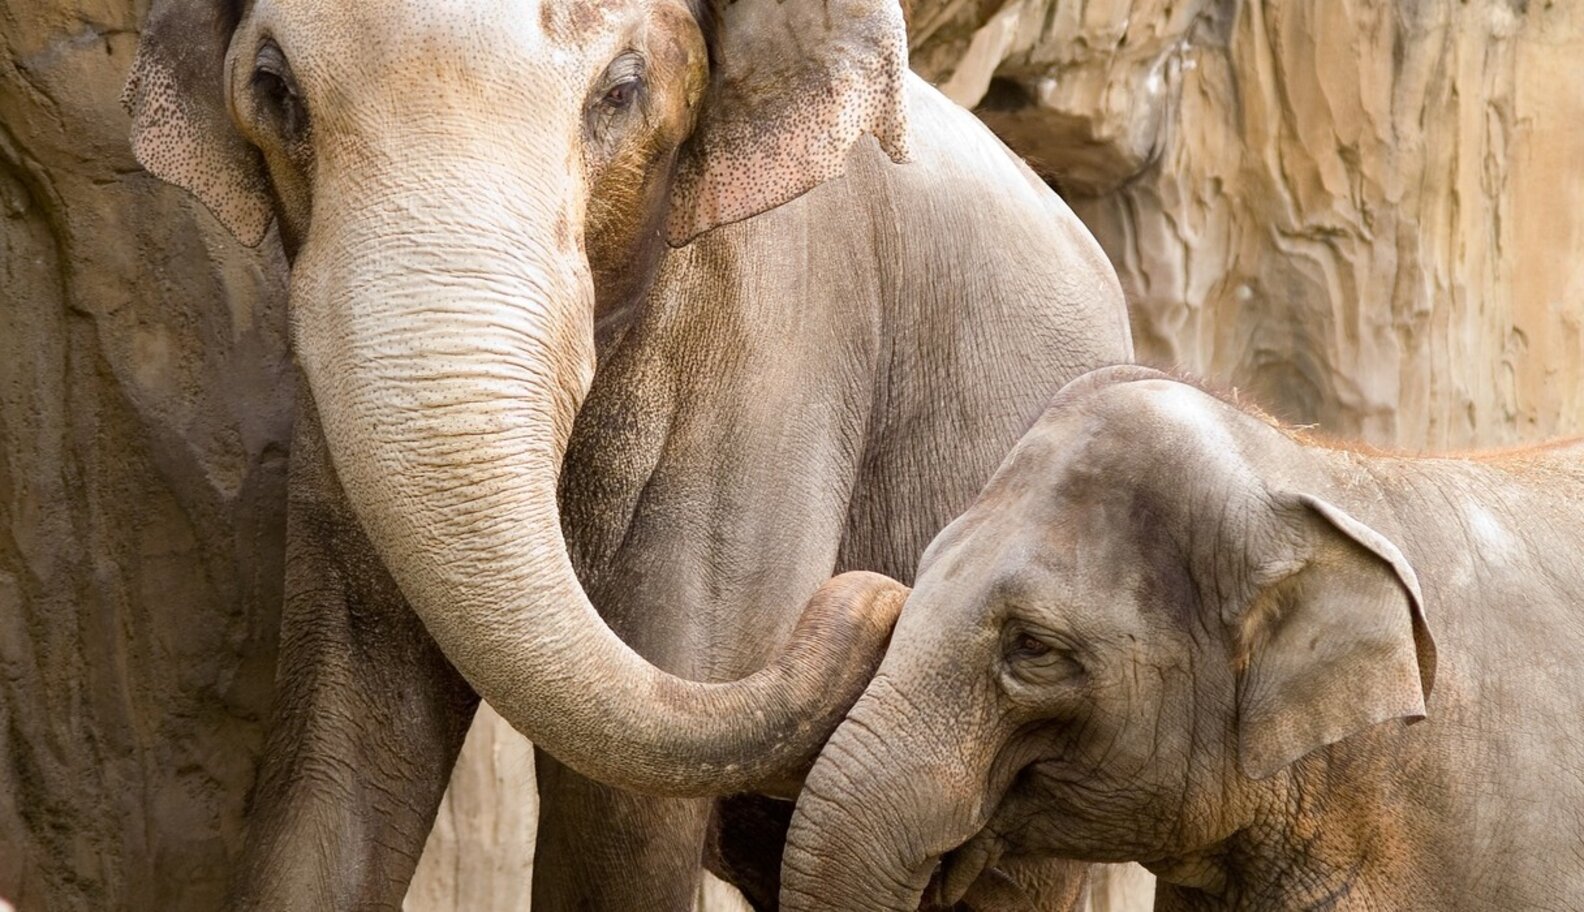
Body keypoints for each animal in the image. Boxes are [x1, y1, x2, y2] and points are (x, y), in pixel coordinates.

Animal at [122, 0, 1135, 908]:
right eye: (274, 87)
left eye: (622, 88)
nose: (884, 598)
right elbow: (345, 742)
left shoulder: (781, 333)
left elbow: (621, 803)